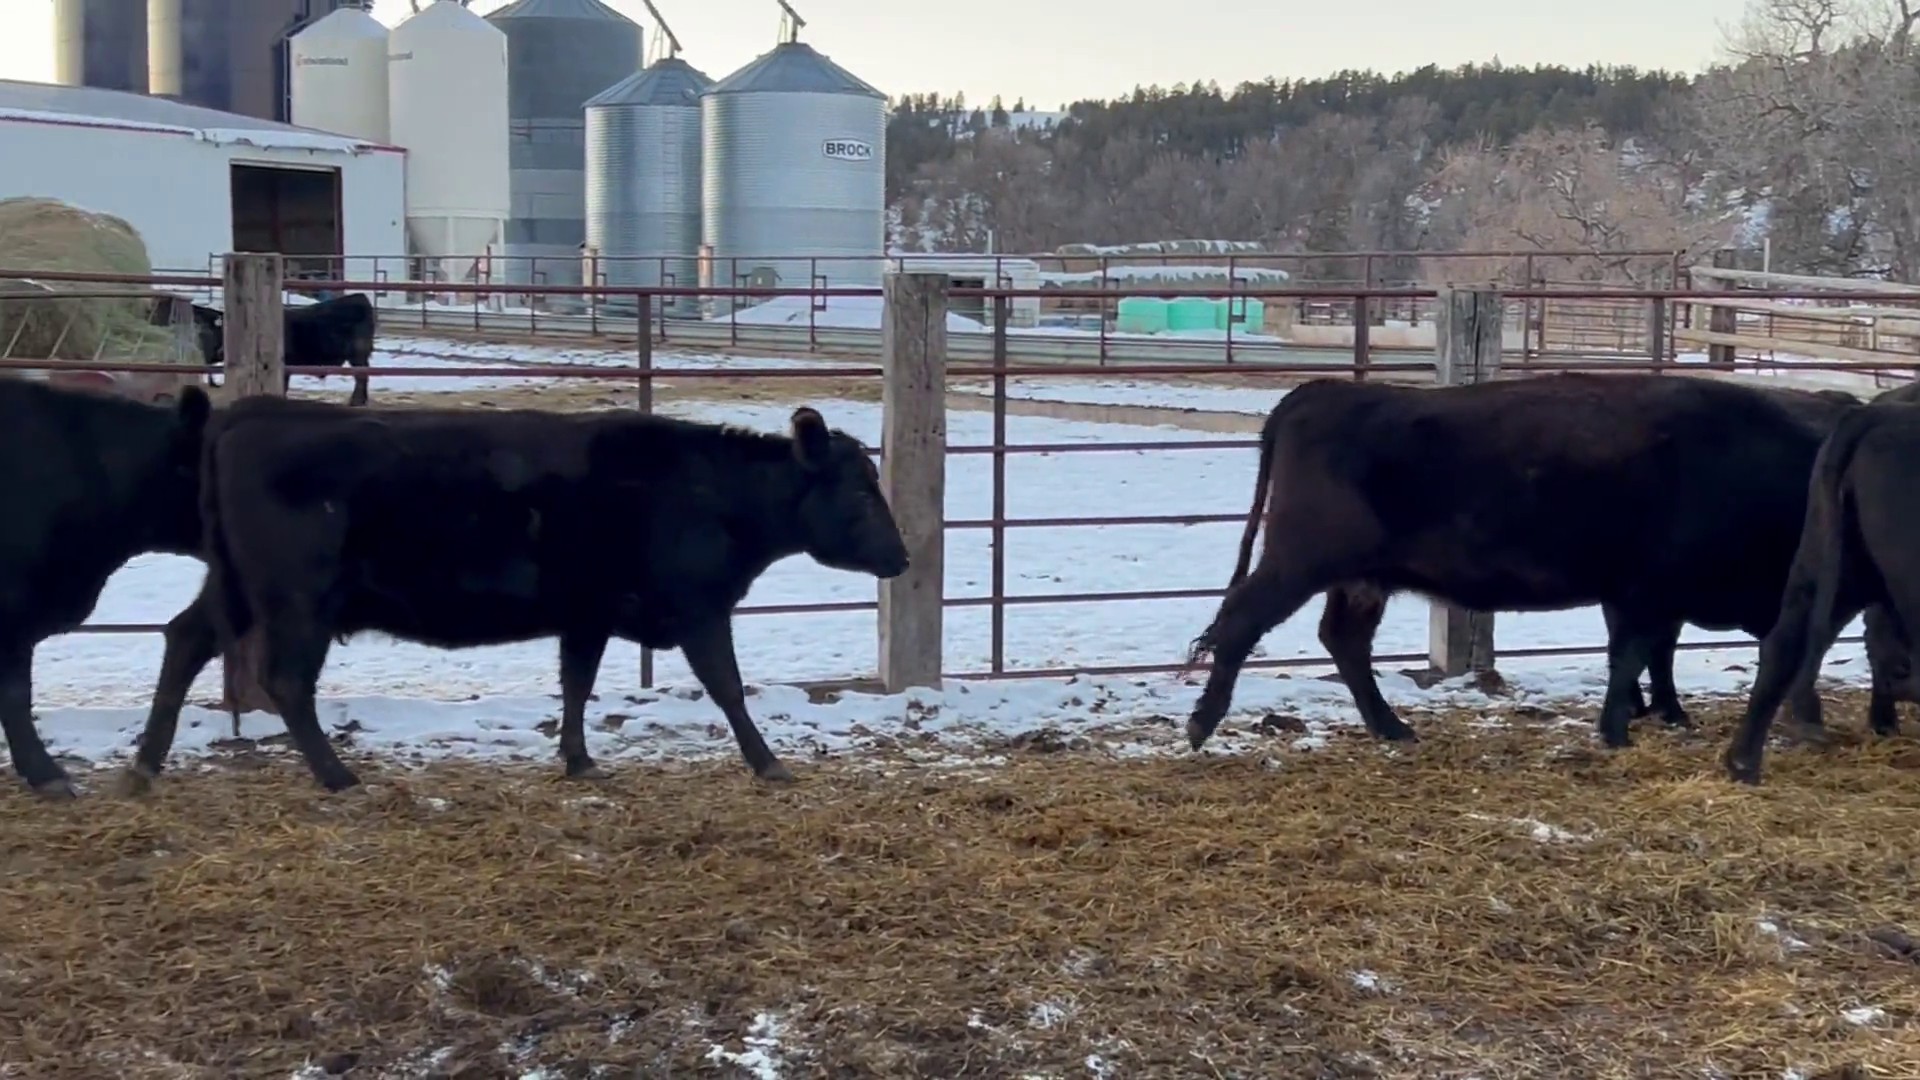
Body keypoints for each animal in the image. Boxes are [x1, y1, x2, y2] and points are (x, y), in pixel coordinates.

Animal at [120, 399, 908, 794]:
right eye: (860, 494)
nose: (901, 558)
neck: (708, 489)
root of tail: (248, 413)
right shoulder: (698, 608)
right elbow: (729, 687)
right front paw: (769, 763)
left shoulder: (588, 613)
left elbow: (576, 683)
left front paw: (578, 760)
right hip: (298, 598)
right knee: (285, 681)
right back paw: (338, 777)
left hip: (237, 584)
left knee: (186, 637)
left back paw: (145, 765)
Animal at [1182, 373, 1887, 756]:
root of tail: (1320, 392)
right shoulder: (1647, 589)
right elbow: (1637, 653)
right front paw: (1624, 726)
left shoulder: (1638, 593)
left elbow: (1641, 654)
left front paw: (1647, 716)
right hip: (1300, 561)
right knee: (1241, 622)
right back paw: (1200, 725)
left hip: (1358, 579)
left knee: (1343, 641)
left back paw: (1393, 728)